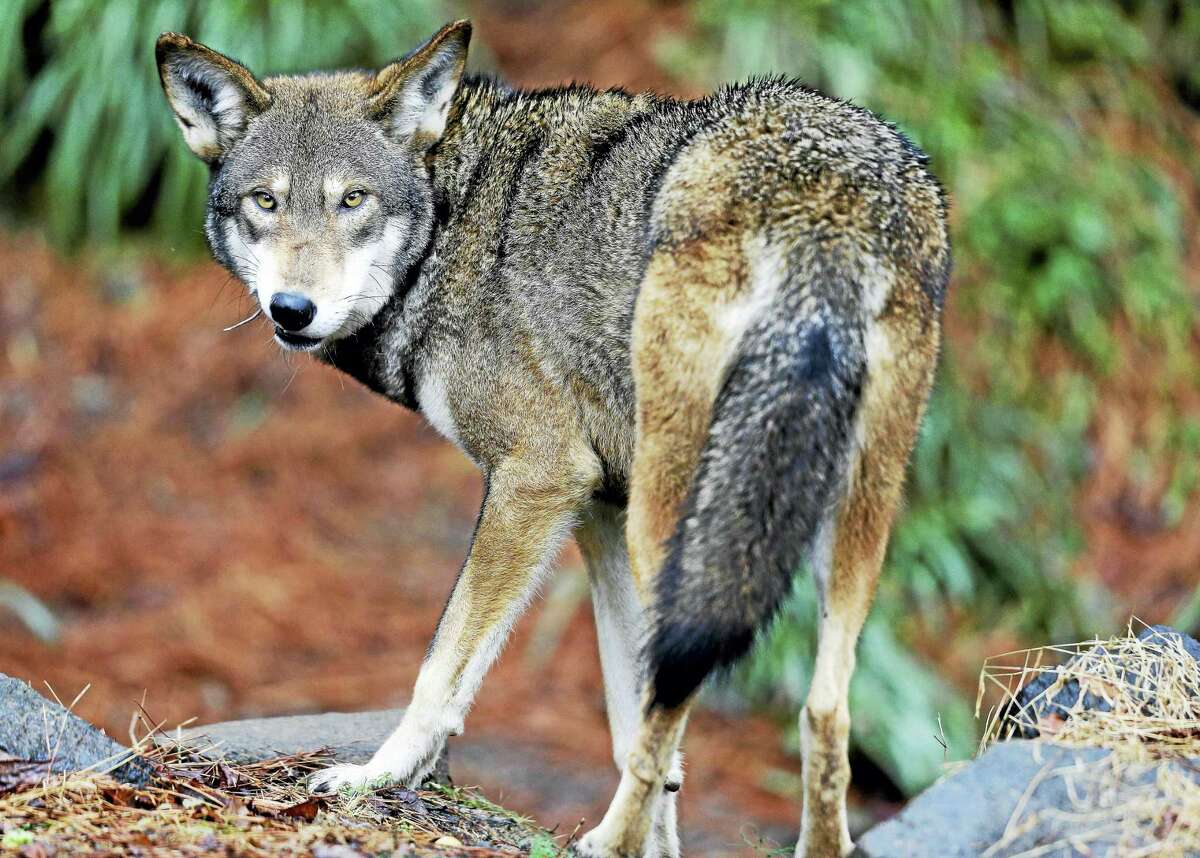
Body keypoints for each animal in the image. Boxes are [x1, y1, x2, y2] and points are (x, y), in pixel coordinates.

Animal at [156, 19, 949, 857]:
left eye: (353, 200)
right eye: (265, 202)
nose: (292, 309)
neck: (455, 224)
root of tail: (825, 199)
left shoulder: (539, 480)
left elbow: (444, 668)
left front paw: (377, 776)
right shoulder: (599, 512)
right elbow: (632, 717)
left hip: (677, 519)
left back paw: (604, 842)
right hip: (841, 524)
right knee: (822, 710)